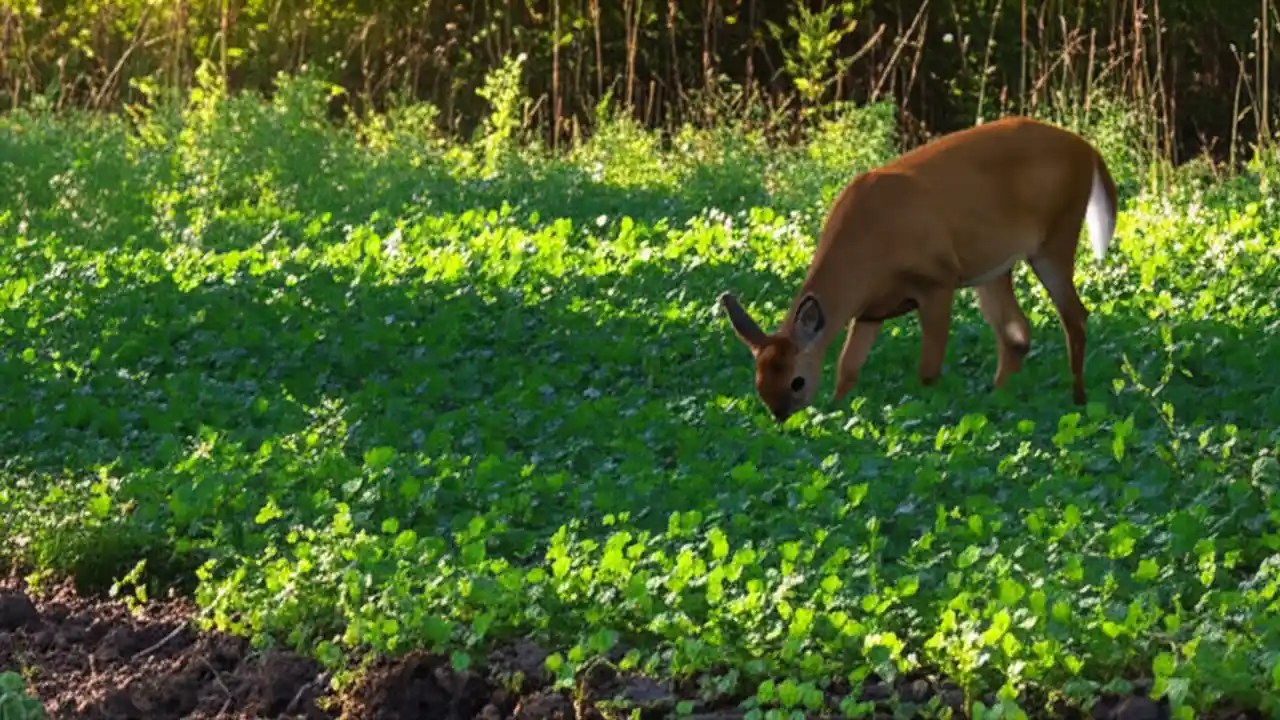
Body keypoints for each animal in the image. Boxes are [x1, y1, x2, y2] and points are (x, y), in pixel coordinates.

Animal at [719, 116, 1119, 423]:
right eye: (759, 384)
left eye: (797, 381)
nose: (780, 416)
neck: (869, 246)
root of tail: (1090, 151)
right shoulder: (869, 310)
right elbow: (847, 368)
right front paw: (838, 411)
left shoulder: (937, 280)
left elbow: (928, 370)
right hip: (992, 267)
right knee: (1017, 333)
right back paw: (997, 399)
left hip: (1057, 236)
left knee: (1075, 316)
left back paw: (1078, 399)